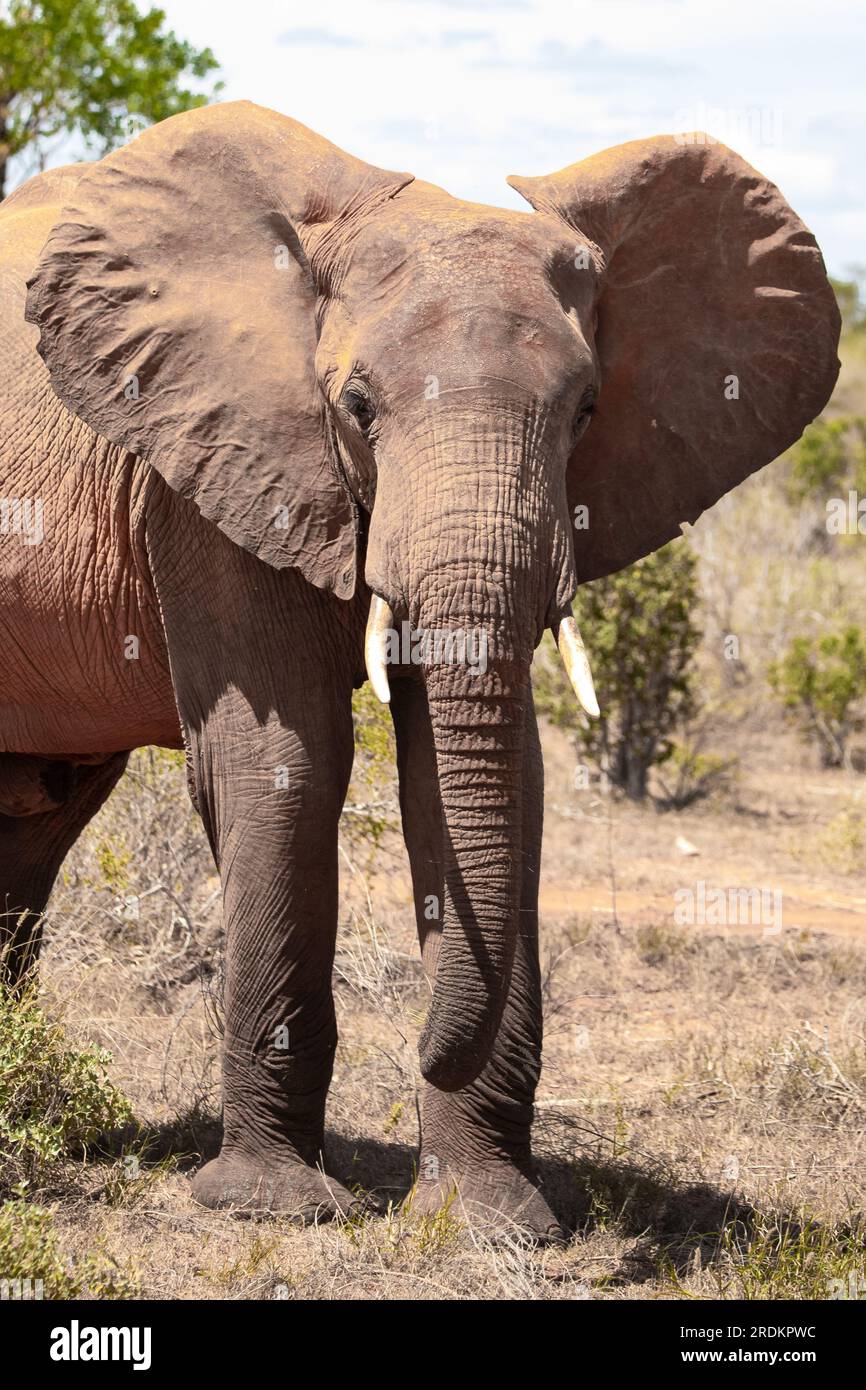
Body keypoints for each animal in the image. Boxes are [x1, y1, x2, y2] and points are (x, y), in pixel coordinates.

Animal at [0, 101, 839, 1240]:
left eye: (586, 409)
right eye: (356, 406)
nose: (427, 1047)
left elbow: (474, 776)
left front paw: (489, 1220)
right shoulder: (202, 460)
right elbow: (284, 756)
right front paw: (268, 1209)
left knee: (39, 811)